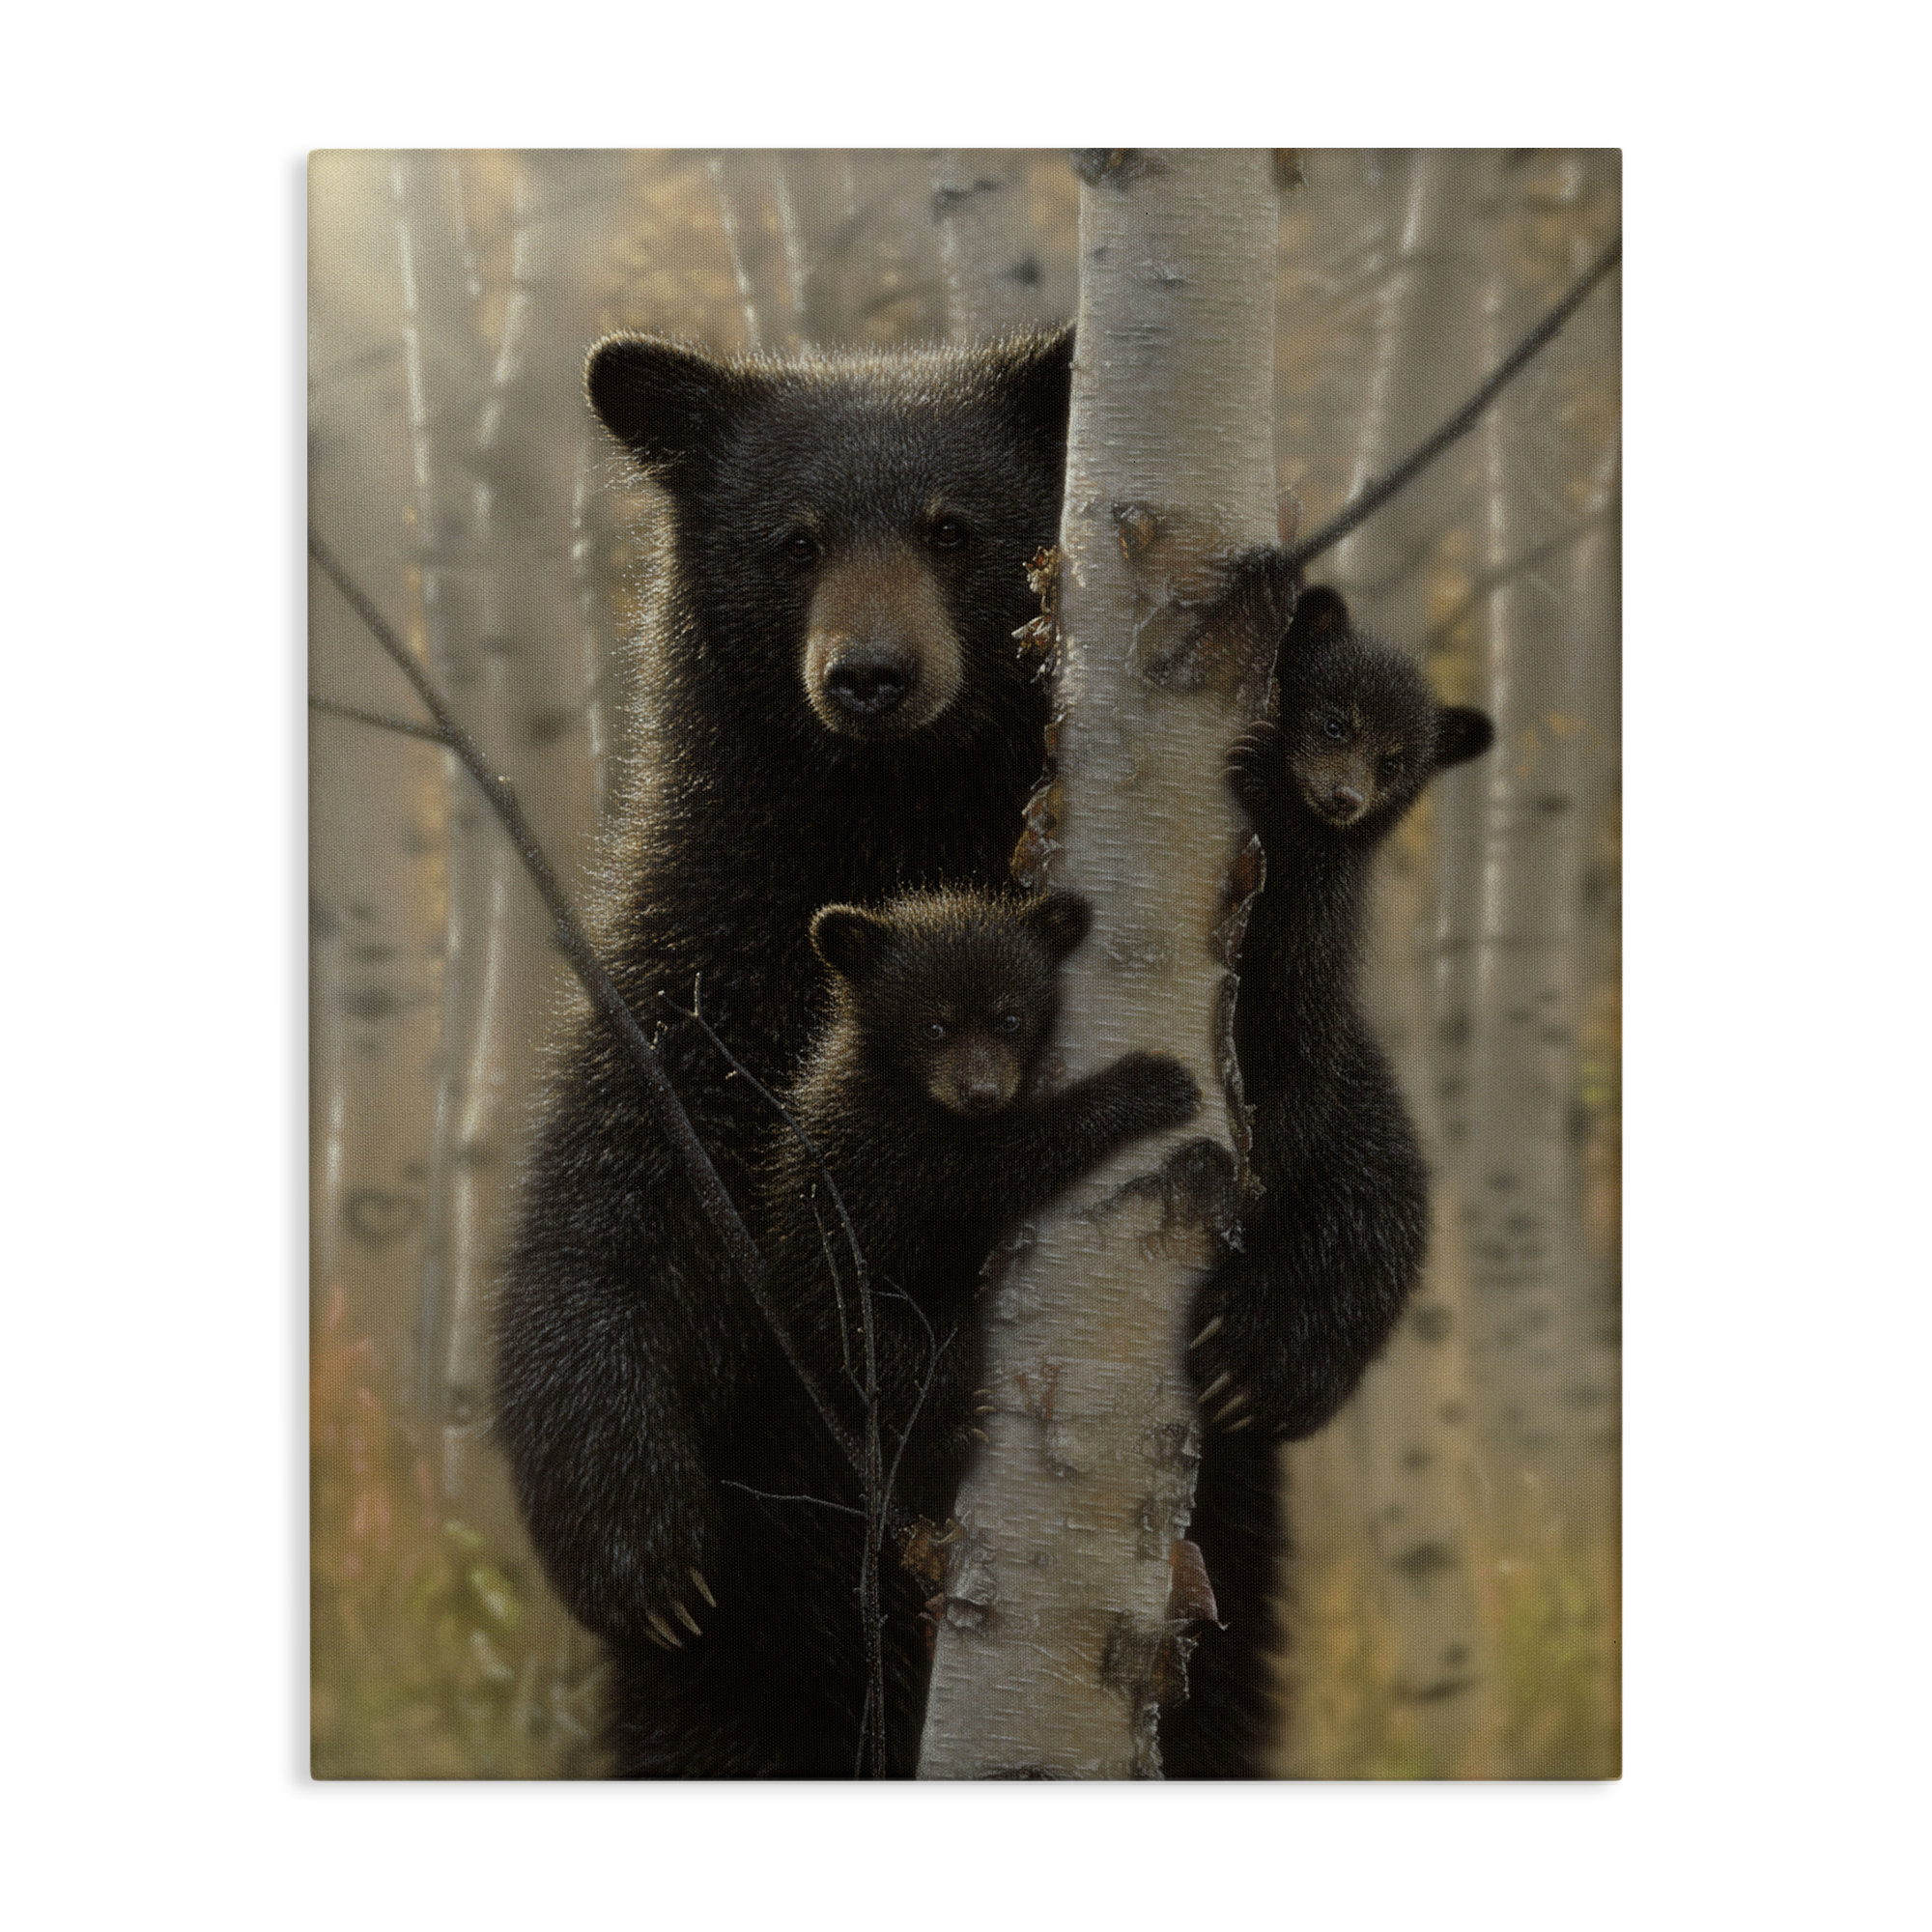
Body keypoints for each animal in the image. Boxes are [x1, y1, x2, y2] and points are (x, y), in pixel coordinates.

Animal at [602, 886, 1201, 1777]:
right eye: (934, 1025)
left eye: (1012, 1015)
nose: (982, 1090)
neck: (901, 1085)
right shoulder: (896, 1152)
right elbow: (1000, 1165)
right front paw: (1150, 1083)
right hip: (857, 1319)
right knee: (908, 1365)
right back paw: (952, 1428)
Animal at [1159, 574, 1495, 1779]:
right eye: (1334, 717)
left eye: (1398, 758)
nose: (1344, 797)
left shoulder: (1304, 967)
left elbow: (1285, 1079)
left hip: (1373, 1211)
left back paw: (1247, 1359)